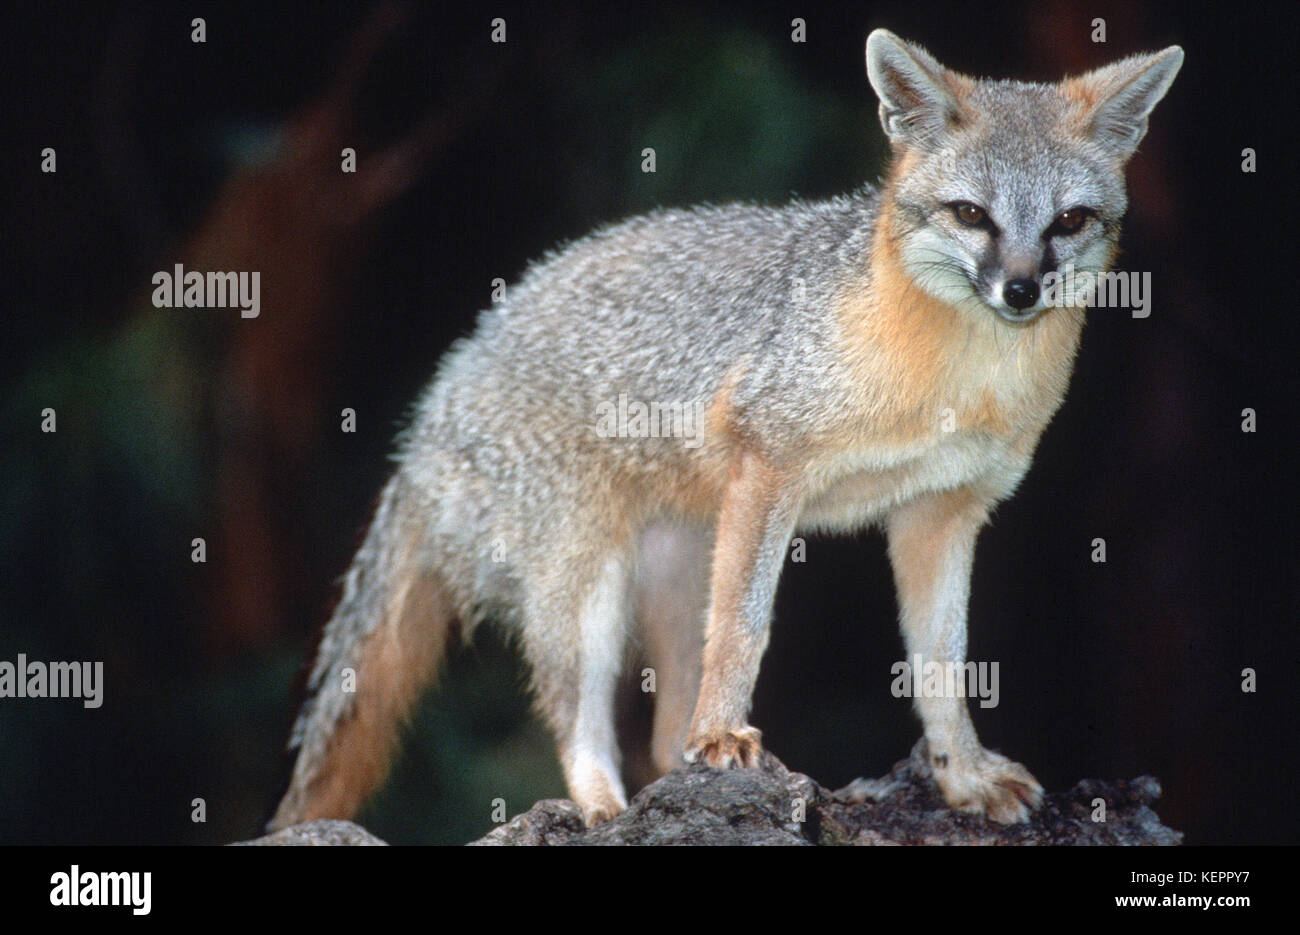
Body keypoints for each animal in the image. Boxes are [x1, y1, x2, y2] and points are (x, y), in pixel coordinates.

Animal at [270, 29, 1183, 831]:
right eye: (971, 214)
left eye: (1068, 222)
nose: (1021, 291)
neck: (960, 380)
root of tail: (436, 400)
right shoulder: (768, 463)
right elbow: (745, 628)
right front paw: (723, 736)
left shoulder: (941, 511)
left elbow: (943, 664)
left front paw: (961, 774)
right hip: (586, 587)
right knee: (577, 713)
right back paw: (603, 807)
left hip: (676, 570)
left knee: (661, 724)